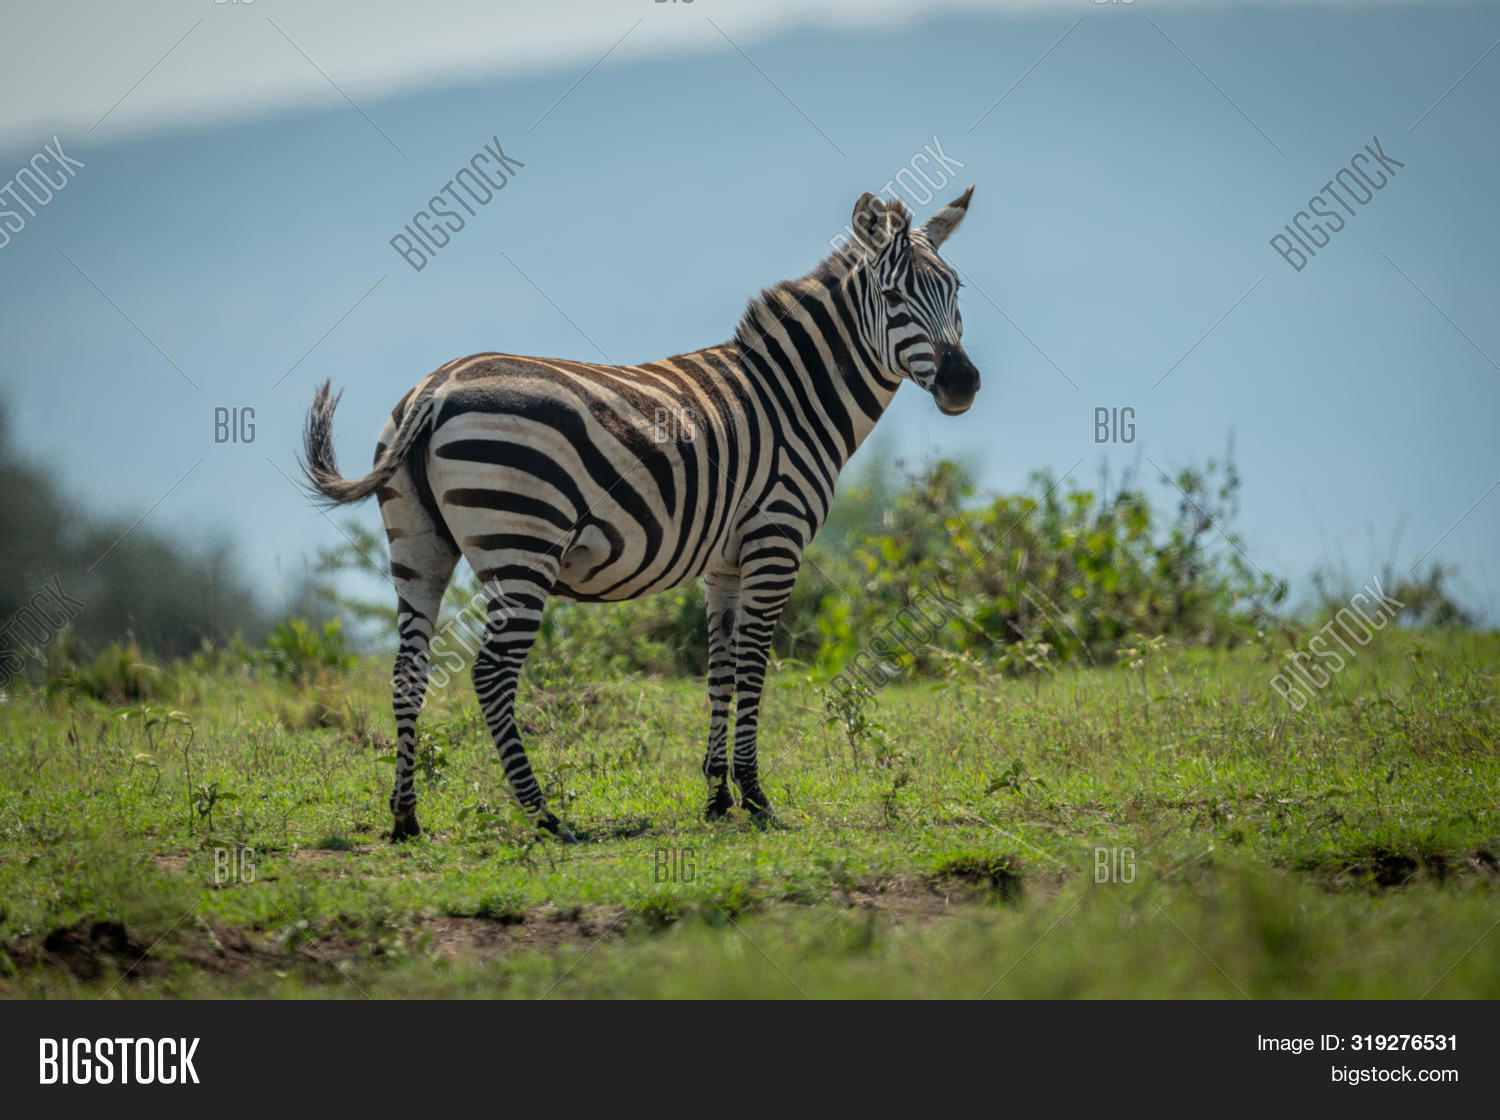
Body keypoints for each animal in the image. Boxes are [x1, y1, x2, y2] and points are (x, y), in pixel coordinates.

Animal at [300, 186, 981, 842]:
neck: (794, 398)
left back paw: (405, 818)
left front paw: (717, 798)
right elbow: (754, 667)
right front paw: (755, 796)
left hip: (418, 546)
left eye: (955, 289)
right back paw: (542, 814)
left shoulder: (723, 564)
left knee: (407, 671)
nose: (963, 384)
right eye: (892, 295)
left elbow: (720, 670)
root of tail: (436, 390)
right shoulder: (774, 539)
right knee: (491, 674)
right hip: (521, 544)